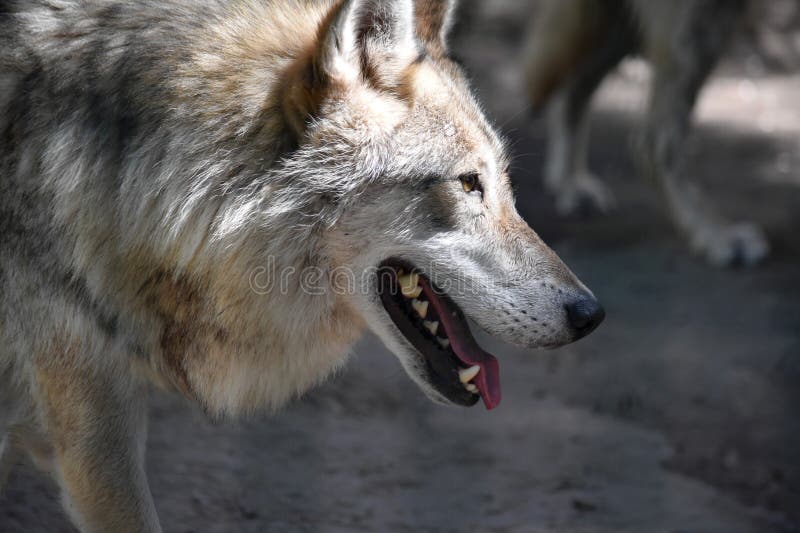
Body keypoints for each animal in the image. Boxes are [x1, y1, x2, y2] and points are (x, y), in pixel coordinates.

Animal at [525, 0, 770, 267]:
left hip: (625, 28)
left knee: (573, 89)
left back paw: (569, 184)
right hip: (693, 21)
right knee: (653, 142)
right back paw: (714, 234)